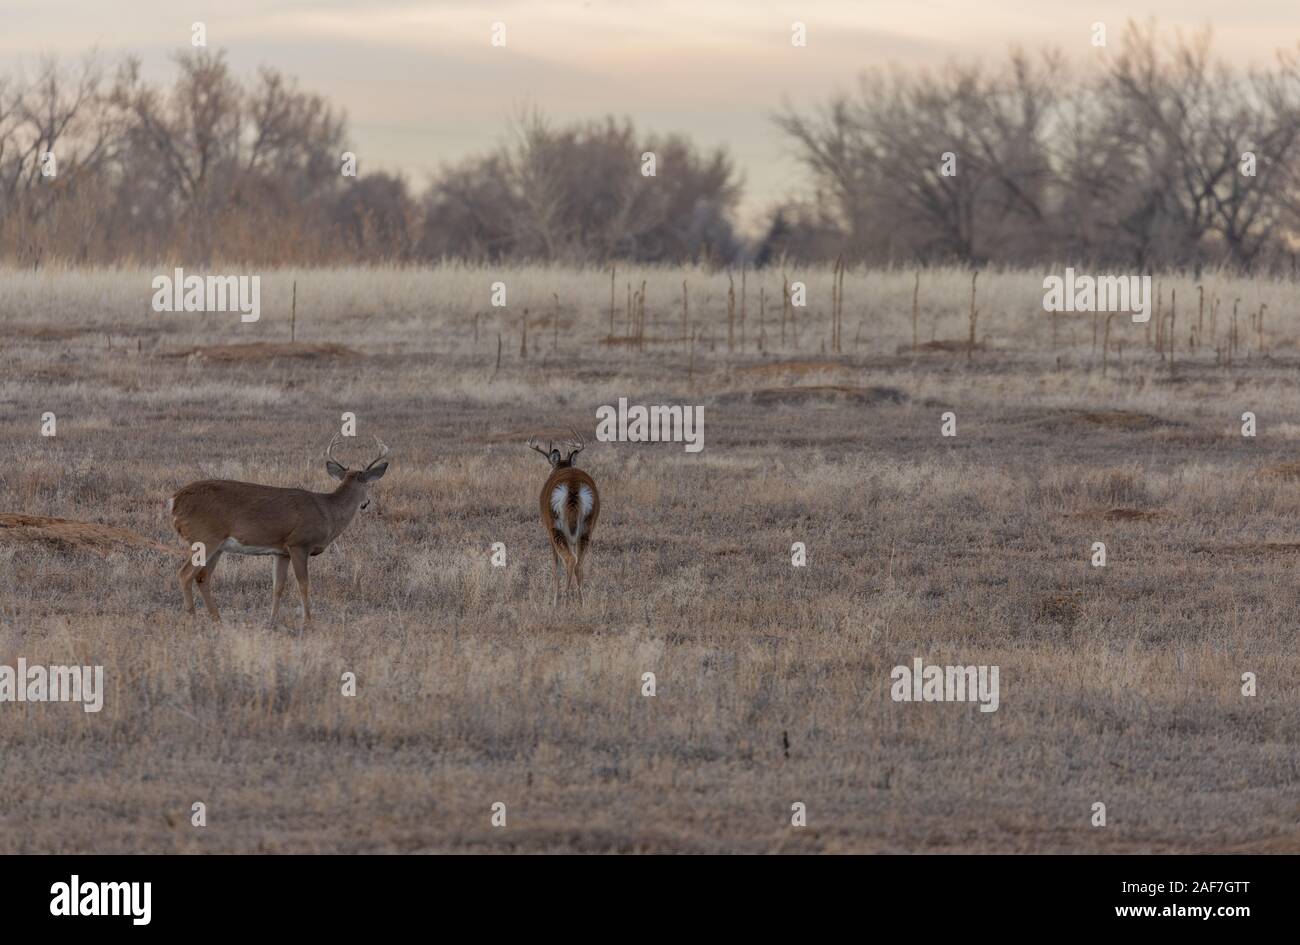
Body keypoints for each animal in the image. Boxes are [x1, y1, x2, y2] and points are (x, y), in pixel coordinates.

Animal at [169, 434, 391, 629]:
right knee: (184, 574)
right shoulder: (299, 543)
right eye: (368, 485)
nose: (366, 503)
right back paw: (192, 619)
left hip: (218, 546)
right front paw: (308, 622)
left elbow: (278, 586)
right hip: (204, 537)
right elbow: (303, 583)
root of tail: (175, 501)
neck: (328, 511)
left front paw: (271, 621)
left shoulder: (281, 551)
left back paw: (218, 621)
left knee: (202, 577)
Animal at [528, 429, 600, 606]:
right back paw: (581, 601)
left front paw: (555, 599)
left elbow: (556, 565)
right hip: (588, 526)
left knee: (570, 559)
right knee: (579, 563)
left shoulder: (548, 532)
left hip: (555, 525)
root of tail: (573, 485)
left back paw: (564, 600)